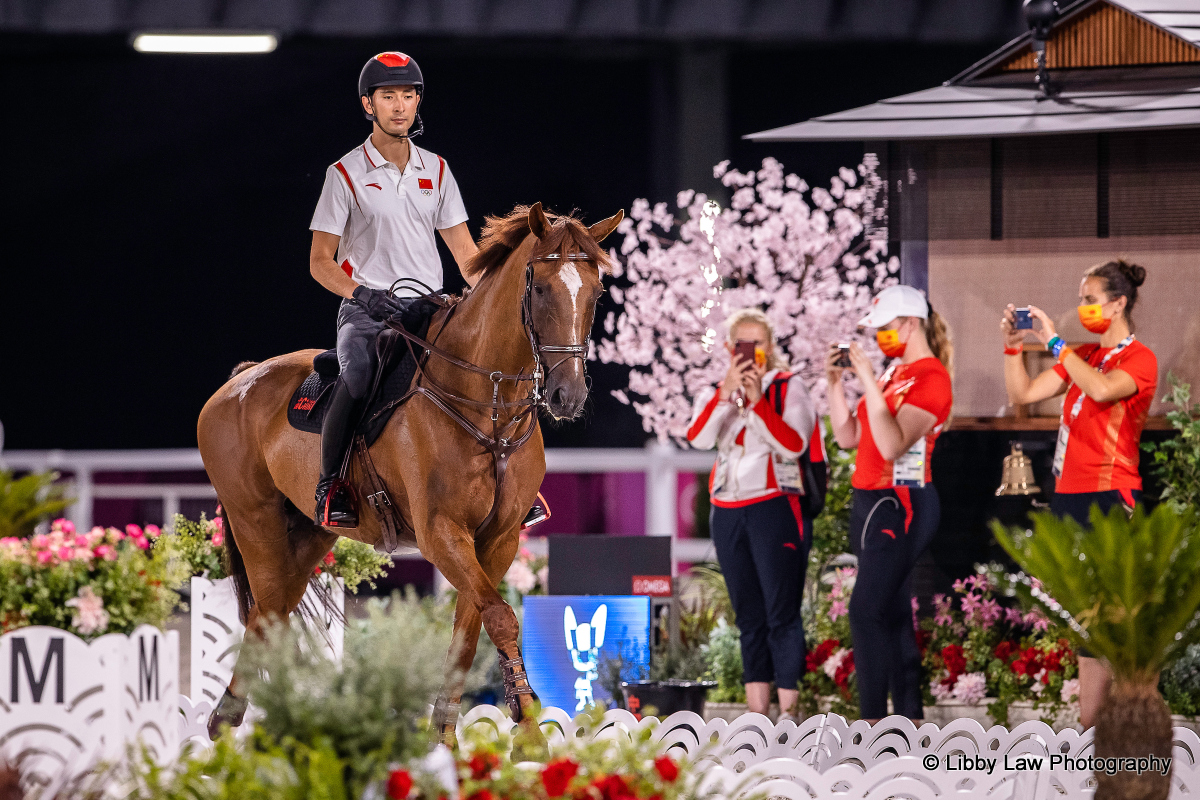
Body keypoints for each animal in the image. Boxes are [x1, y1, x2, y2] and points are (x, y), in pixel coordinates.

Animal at [196, 202, 623, 754]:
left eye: (594, 292)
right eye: (543, 289)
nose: (567, 396)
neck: (488, 405)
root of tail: (239, 382)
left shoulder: (498, 540)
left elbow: (470, 630)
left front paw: (447, 736)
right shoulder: (441, 532)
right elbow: (500, 617)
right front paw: (528, 732)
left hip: (309, 533)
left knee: (271, 615)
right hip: (256, 522)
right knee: (266, 614)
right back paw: (228, 727)